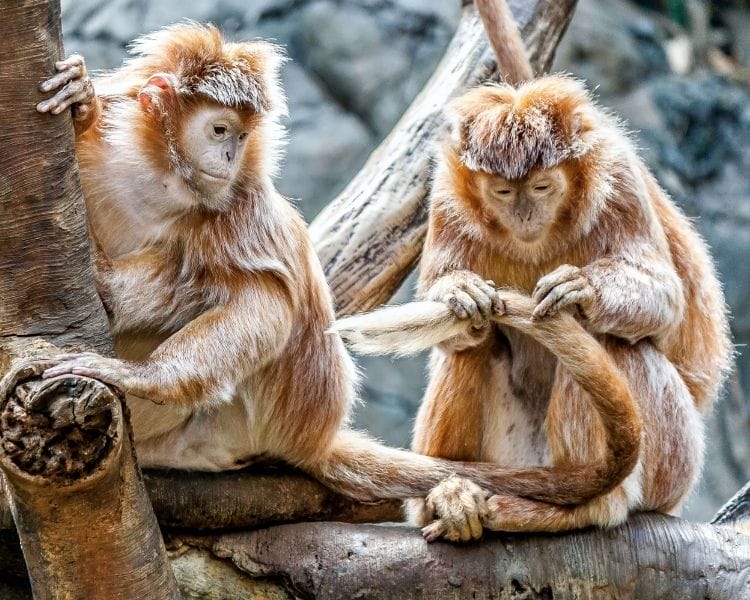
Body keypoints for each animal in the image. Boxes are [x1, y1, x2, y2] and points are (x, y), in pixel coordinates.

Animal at [333, 1, 732, 540]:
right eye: (503, 191)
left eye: (542, 187)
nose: (524, 214)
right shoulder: (446, 194)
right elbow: (454, 314)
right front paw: (460, 291)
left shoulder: (619, 178)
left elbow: (665, 301)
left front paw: (583, 288)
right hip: (513, 456)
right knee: (473, 344)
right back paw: (448, 495)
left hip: (675, 461)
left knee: (613, 343)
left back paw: (592, 503)